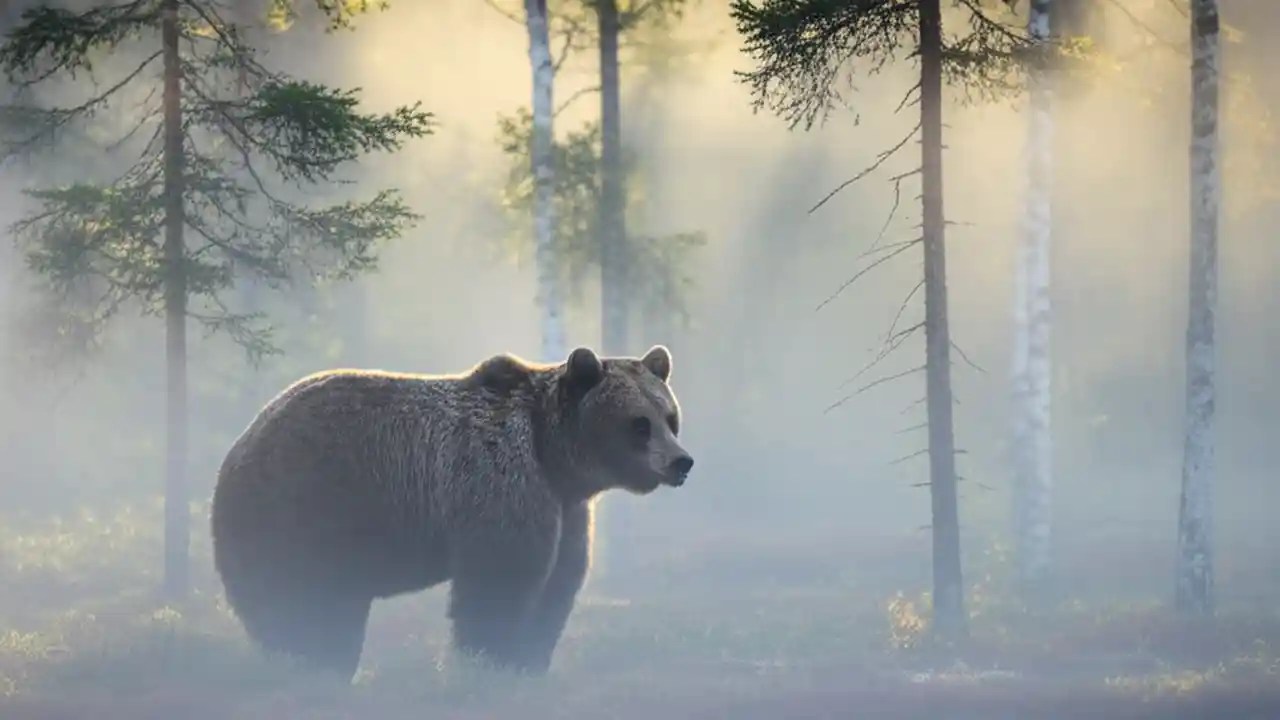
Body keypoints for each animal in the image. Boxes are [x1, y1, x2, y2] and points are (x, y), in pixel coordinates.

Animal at [210, 345, 692, 681]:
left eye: (671, 417)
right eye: (639, 423)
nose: (681, 462)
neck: (557, 457)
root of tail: (239, 445)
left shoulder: (566, 507)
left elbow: (559, 583)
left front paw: (528, 663)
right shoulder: (501, 479)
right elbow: (500, 579)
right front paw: (487, 663)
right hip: (301, 508)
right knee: (297, 598)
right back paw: (312, 661)